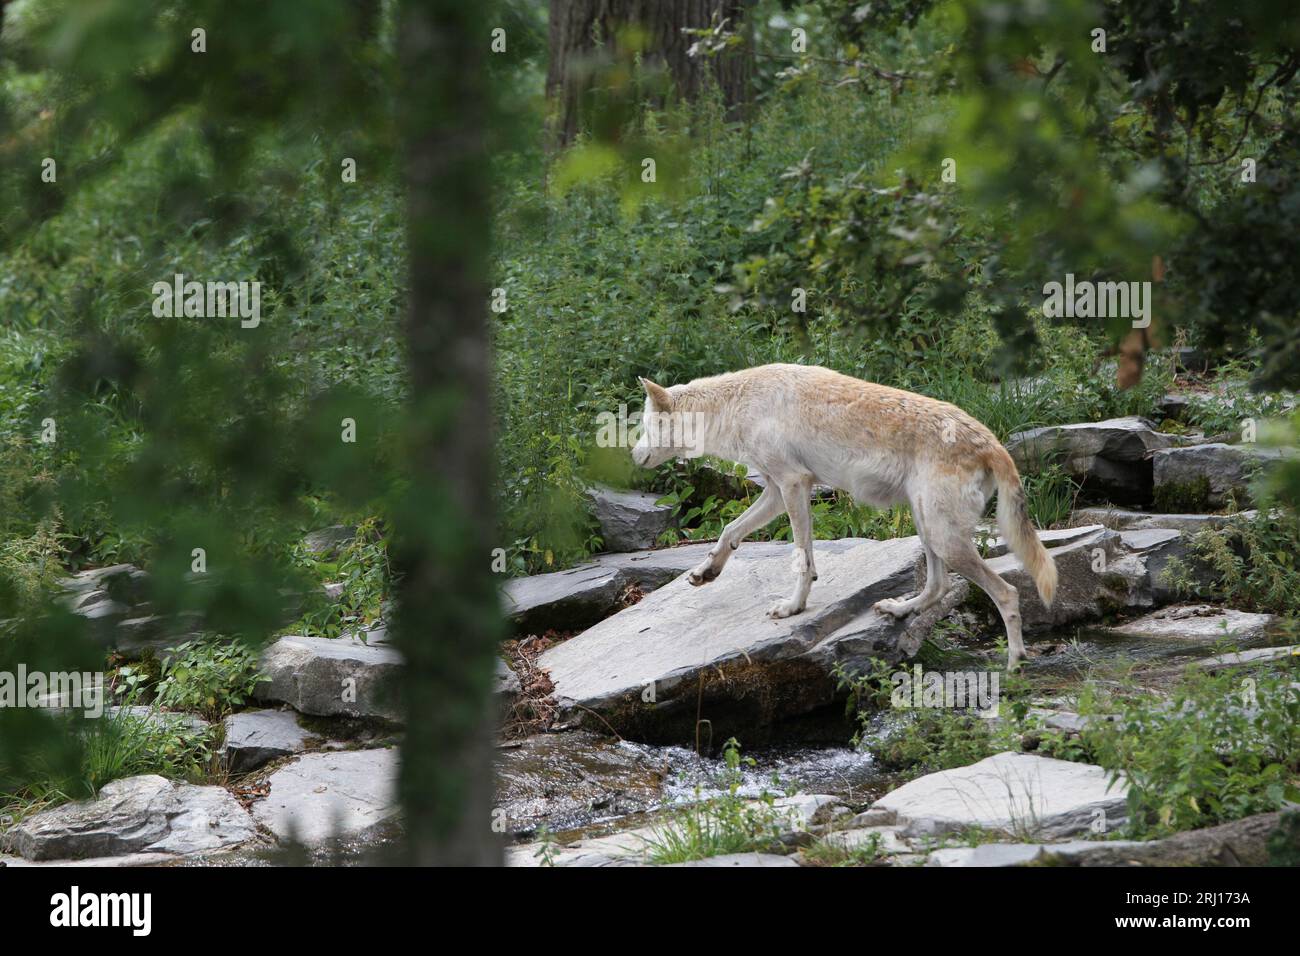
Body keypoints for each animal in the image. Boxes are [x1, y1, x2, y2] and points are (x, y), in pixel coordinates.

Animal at [629, 364, 1057, 669]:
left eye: (646, 426)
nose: (633, 456)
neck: (738, 406)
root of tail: (993, 443)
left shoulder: (793, 484)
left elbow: (803, 559)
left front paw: (793, 608)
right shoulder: (775, 490)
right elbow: (729, 532)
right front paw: (706, 572)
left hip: (943, 538)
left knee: (1007, 592)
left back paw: (1014, 665)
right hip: (928, 529)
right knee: (937, 587)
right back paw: (898, 609)